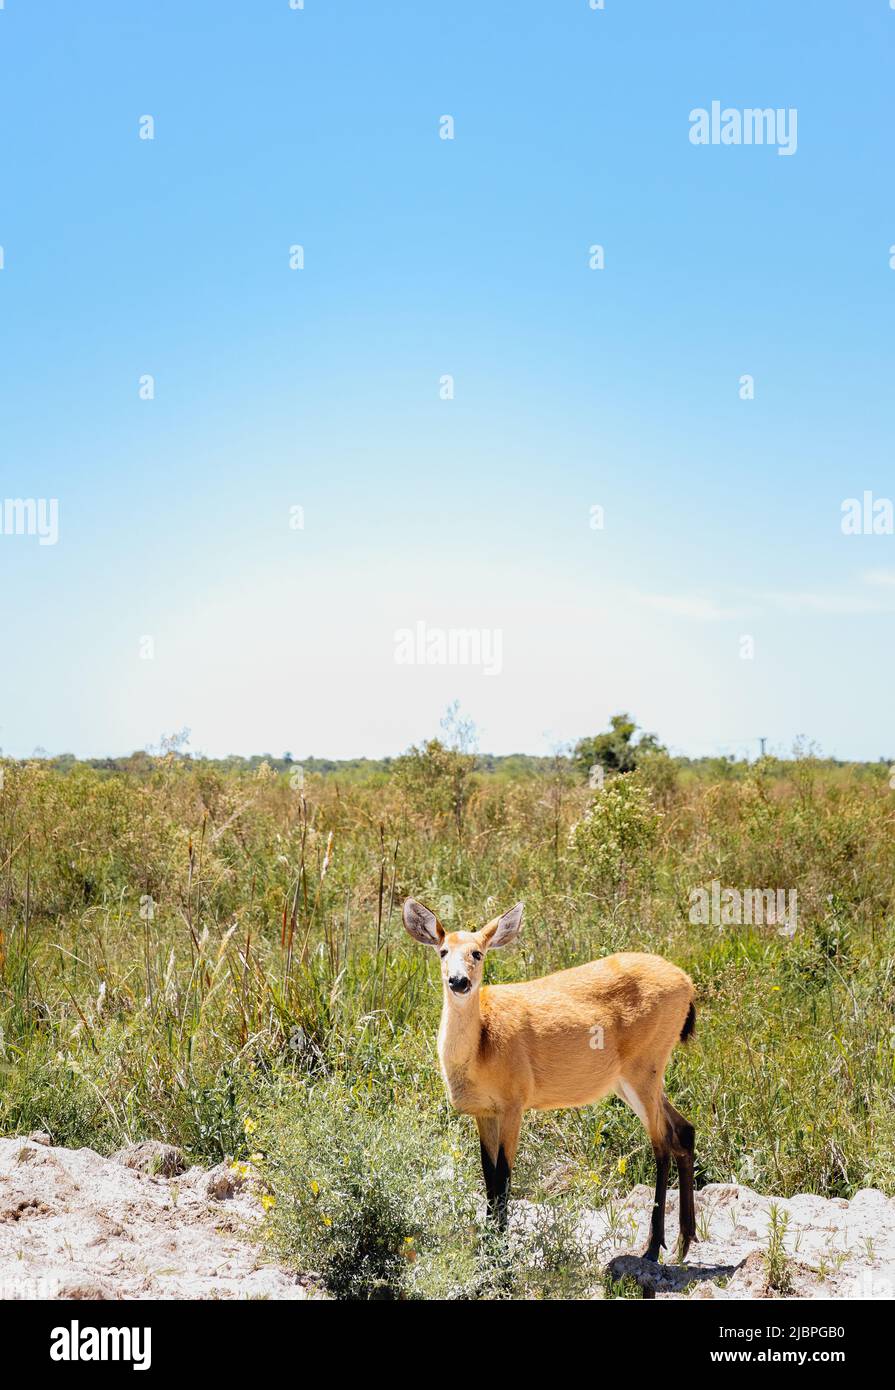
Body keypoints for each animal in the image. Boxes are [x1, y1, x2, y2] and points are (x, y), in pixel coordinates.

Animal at [403, 897, 697, 1262]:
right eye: (443, 950)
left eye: (478, 953)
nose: (459, 981)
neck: (482, 1046)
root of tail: (687, 981)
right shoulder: (484, 1112)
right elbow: (488, 1178)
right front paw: (488, 1249)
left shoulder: (514, 1105)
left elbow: (503, 1178)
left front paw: (501, 1256)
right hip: (628, 1080)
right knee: (683, 1130)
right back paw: (684, 1243)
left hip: (646, 1068)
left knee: (661, 1144)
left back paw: (652, 1248)